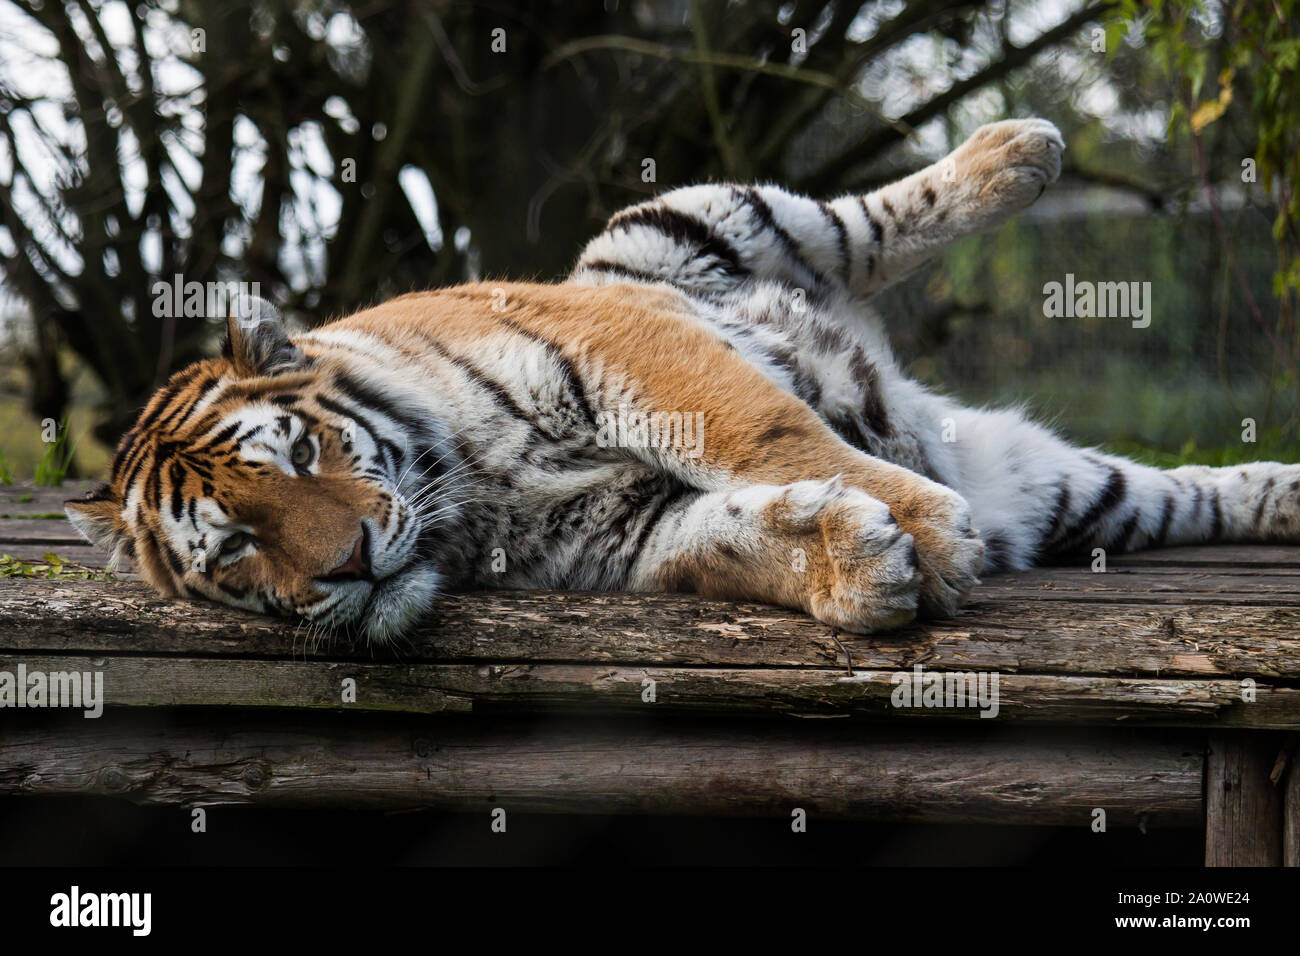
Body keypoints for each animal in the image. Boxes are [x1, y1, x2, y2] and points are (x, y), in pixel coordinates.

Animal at [65, 118, 1300, 645]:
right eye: (238, 545)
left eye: (306, 453)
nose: (351, 565)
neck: (469, 506)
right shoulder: (611, 532)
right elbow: (724, 540)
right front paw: (861, 568)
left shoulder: (613, 338)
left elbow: (756, 430)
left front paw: (923, 534)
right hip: (1058, 490)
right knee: (1182, 491)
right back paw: (1282, 494)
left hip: (673, 225)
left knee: (858, 225)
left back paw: (1018, 149)